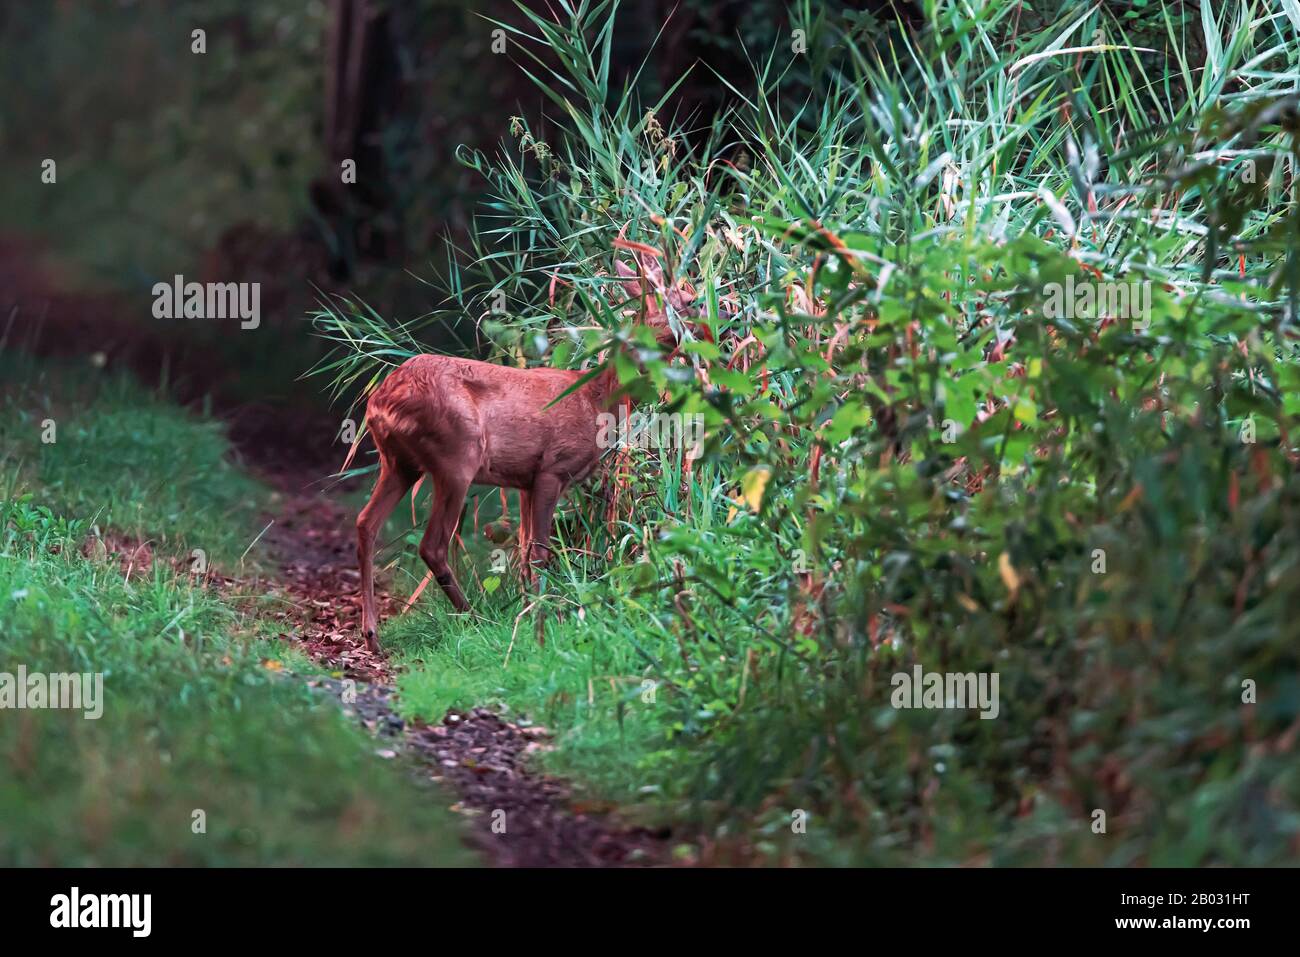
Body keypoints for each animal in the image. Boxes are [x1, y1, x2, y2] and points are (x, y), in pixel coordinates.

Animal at [353, 250, 702, 651]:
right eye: (686, 301)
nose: (718, 313)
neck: (596, 397)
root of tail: (380, 400)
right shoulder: (552, 468)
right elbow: (539, 551)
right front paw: (542, 615)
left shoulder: (523, 480)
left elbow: (522, 550)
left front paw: (527, 607)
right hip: (456, 455)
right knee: (432, 544)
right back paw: (473, 617)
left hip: (398, 462)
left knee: (366, 522)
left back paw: (372, 634)